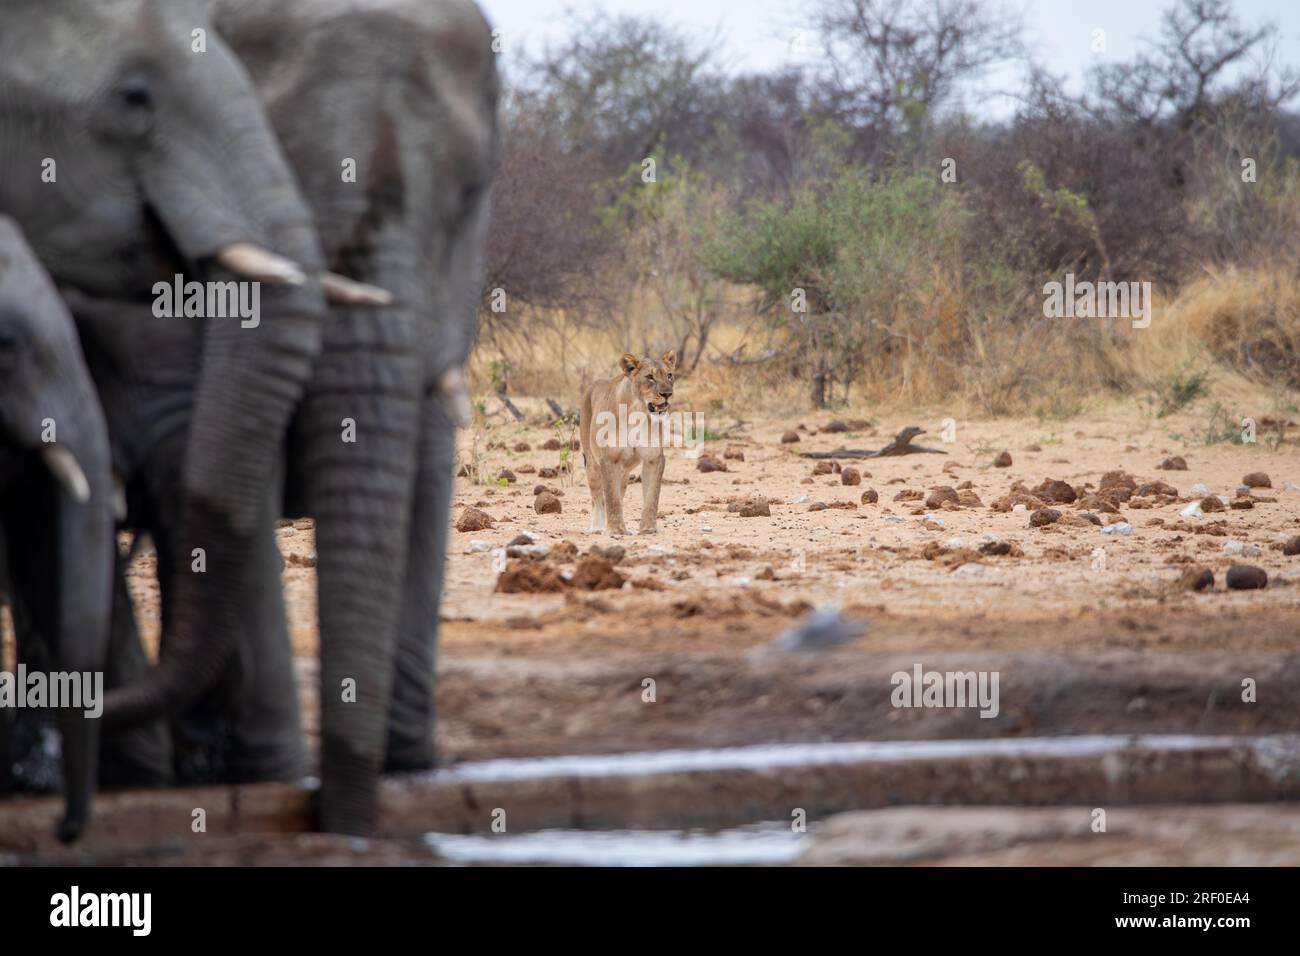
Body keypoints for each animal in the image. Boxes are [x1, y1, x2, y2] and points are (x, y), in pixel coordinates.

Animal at [578, 351, 677, 535]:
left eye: (669, 375)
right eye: (650, 377)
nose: (667, 394)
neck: (637, 413)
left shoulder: (654, 458)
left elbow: (652, 496)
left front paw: (648, 528)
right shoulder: (609, 459)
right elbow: (611, 498)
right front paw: (616, 529)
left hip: (624, 472)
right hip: (592, 464)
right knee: (597, 498)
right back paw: (597, 527)